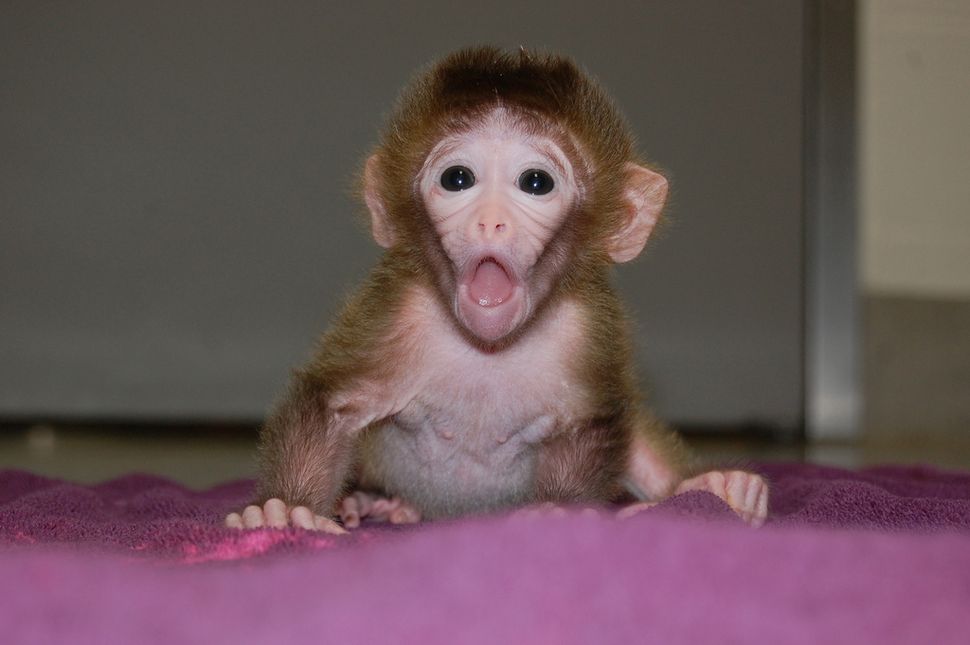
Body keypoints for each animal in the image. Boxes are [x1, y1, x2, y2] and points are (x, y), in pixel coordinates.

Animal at [225, 47, 768, 534]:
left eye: (536, 182)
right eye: (457, 178)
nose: (490, 221)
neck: (489, 348)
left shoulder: (587, 326)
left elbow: (593, 420)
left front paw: (559, 509)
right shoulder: (397, 306)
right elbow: (333, 406)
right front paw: (285, 510)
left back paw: (716, 488)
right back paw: (369, 502)